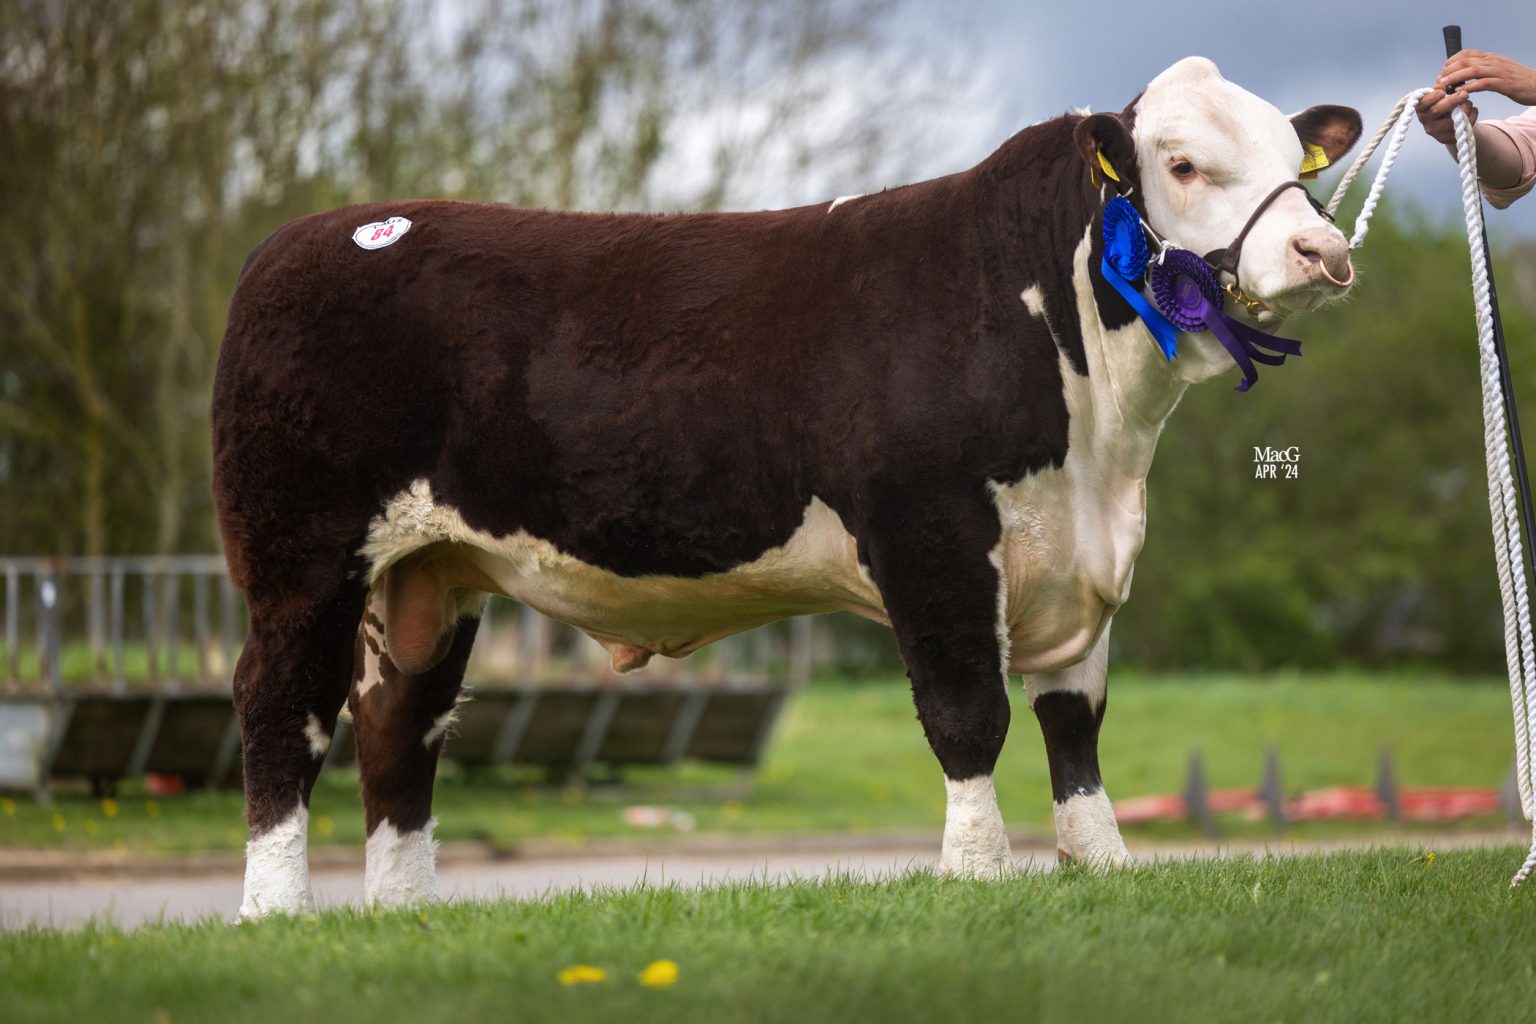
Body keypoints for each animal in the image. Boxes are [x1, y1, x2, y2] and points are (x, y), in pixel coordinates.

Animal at [213, 57, 1362, 919]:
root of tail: (298, 240)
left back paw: (402, 916)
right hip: (301, 556)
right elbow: (968, 714)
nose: (1324, 248)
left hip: (431, 572)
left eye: (1293, 159)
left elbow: (1074, 727)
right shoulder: (929, 533)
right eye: (1184, 163)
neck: (1100, 443)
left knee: (398, 725)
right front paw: (976, 874)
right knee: (282, 706)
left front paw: (1104, 865)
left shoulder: (1080, 562)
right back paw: (275, 912)